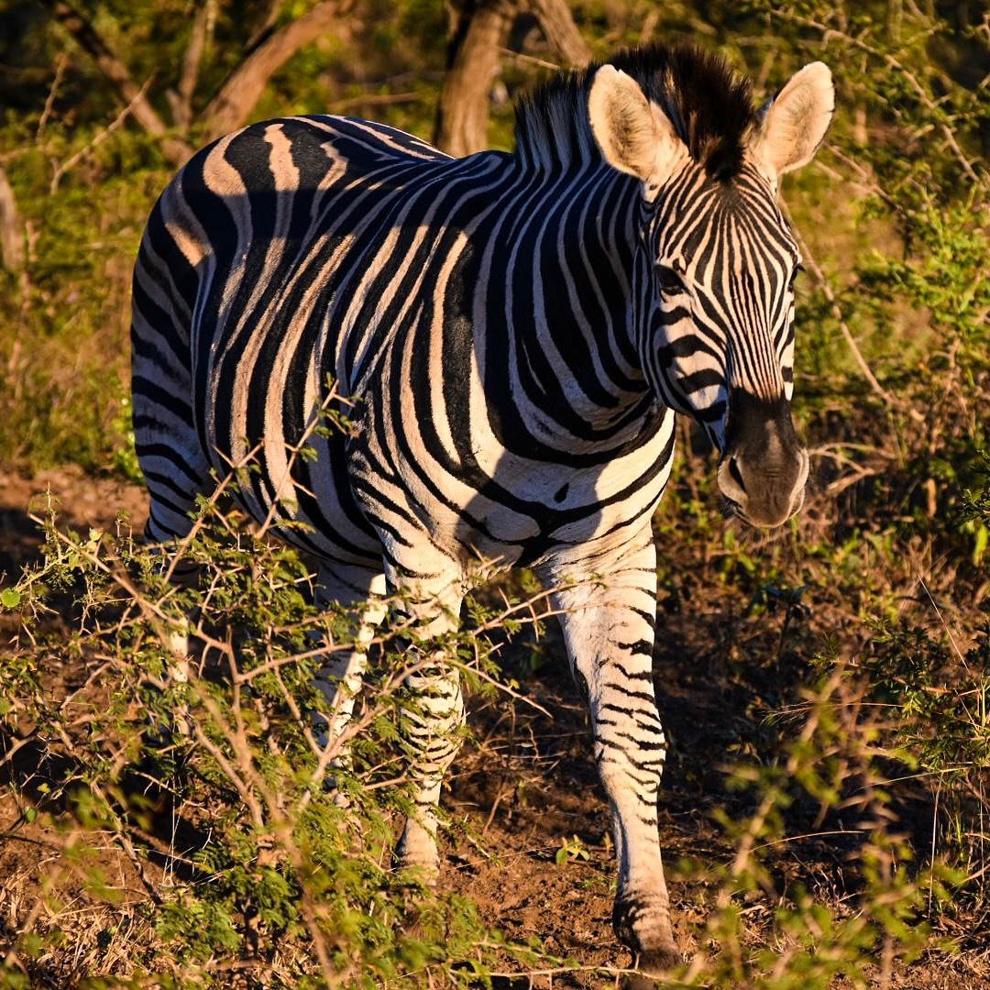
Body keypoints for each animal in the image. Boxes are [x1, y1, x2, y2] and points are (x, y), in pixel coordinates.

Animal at [131, 44, 833, 978]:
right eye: (670, 279)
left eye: (791, 276)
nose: (770, 476)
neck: (591, 404)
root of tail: (276, 121)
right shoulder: (423, 543)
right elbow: (433, 718)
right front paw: (415, 888)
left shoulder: (614, 551)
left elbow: (633, 731)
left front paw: (649, 921)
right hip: (172, 440)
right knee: (167, 591)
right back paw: (167, 774)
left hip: (341, 525)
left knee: (335, 661)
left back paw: (324, 817)